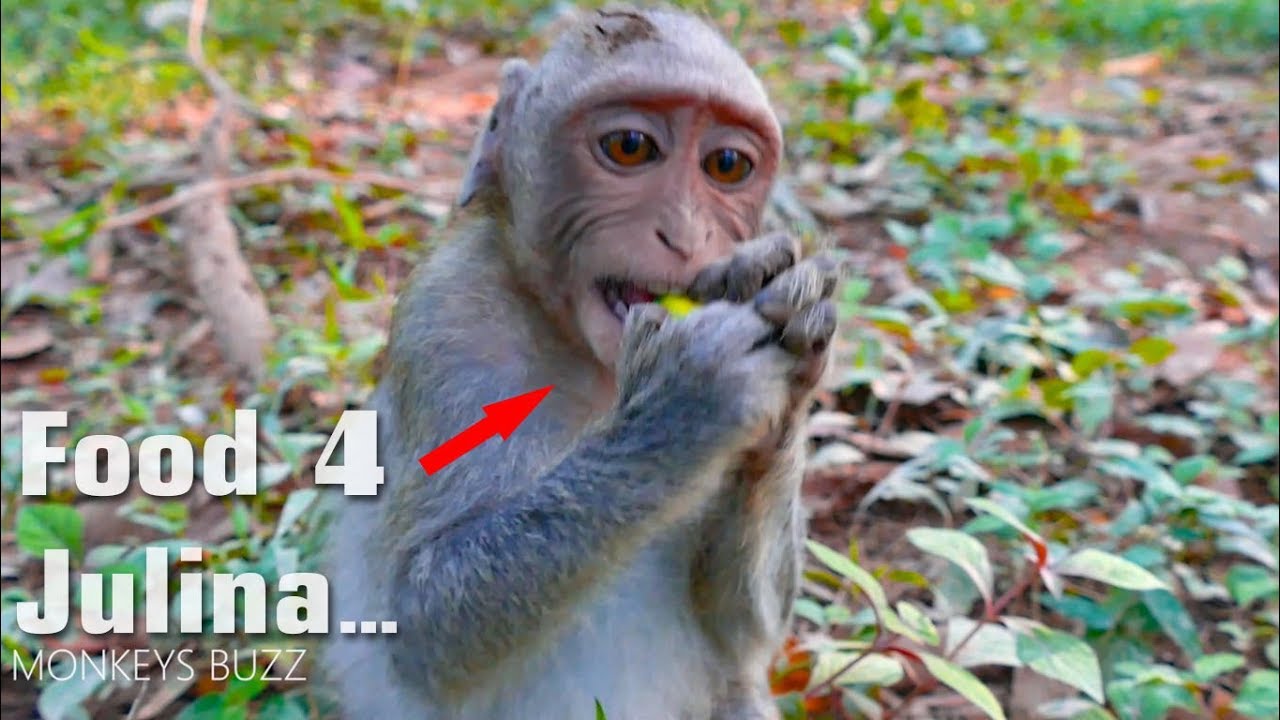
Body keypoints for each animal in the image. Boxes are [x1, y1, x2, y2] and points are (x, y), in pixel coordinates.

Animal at [325, 6, 842, 719]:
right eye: (629, 147)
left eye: (727, 163)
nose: (685, 234)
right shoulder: (446, 323)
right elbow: (420, 628)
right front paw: (687, 403)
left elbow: (744, 634)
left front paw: (790, 323)